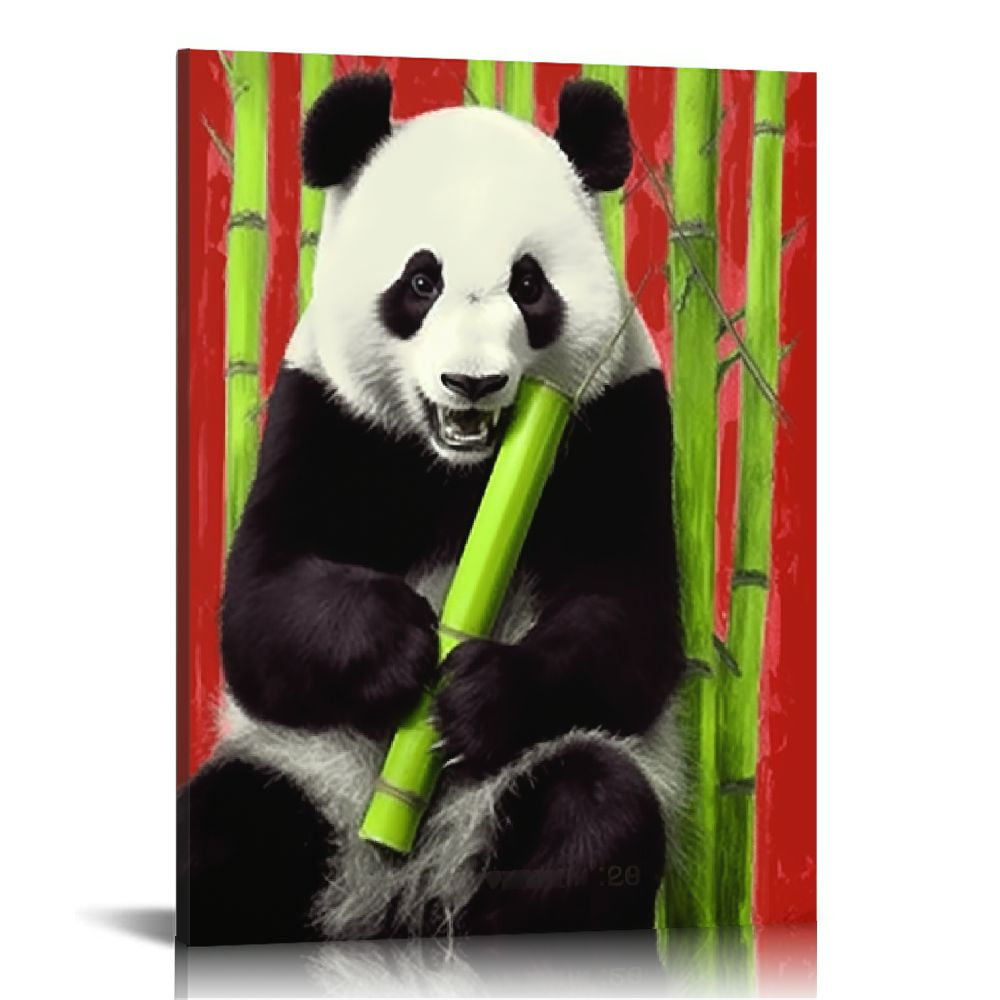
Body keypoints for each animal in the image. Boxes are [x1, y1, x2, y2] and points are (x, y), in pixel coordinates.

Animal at [178, 71, 687, 946]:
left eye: (529, 284)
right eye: (422, 282)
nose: (472, 384)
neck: (462, 471)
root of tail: (398, 889)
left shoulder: (619, 418)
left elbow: (629, 619)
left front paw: (478, 689)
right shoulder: (324, 413)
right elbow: (260, 608)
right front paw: (398, 641)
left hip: (515, 793)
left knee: (594, 811)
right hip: (309, 771)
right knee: (228, 823)